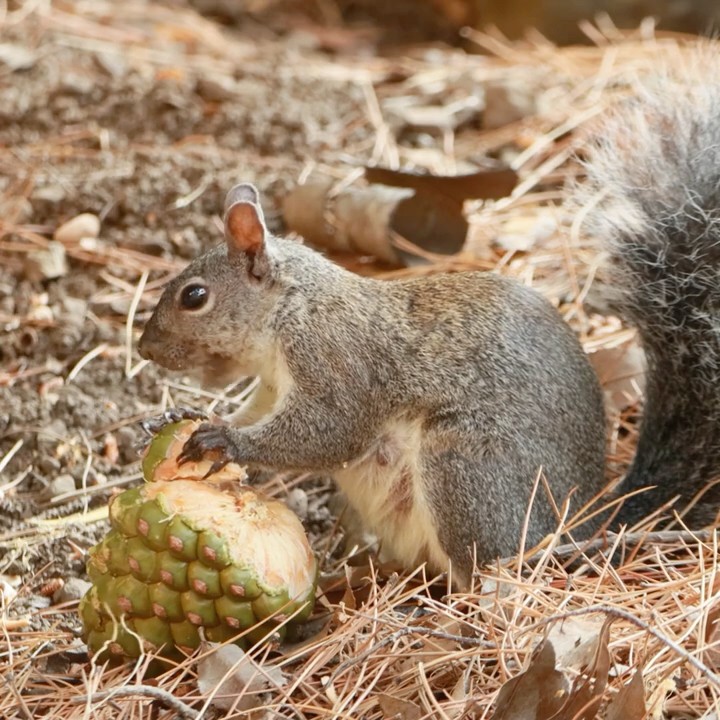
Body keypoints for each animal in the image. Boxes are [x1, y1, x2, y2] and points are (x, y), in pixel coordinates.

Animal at [138, 67, 720, 589]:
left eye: (194, 297)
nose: (146, 348)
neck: (292, 309)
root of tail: (578, 527)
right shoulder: (272, 384)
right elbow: (257, 412)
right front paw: (184, 415)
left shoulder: (337, 359)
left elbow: (328, 431)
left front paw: (226, 439)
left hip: (464, 468)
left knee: (491, 569)